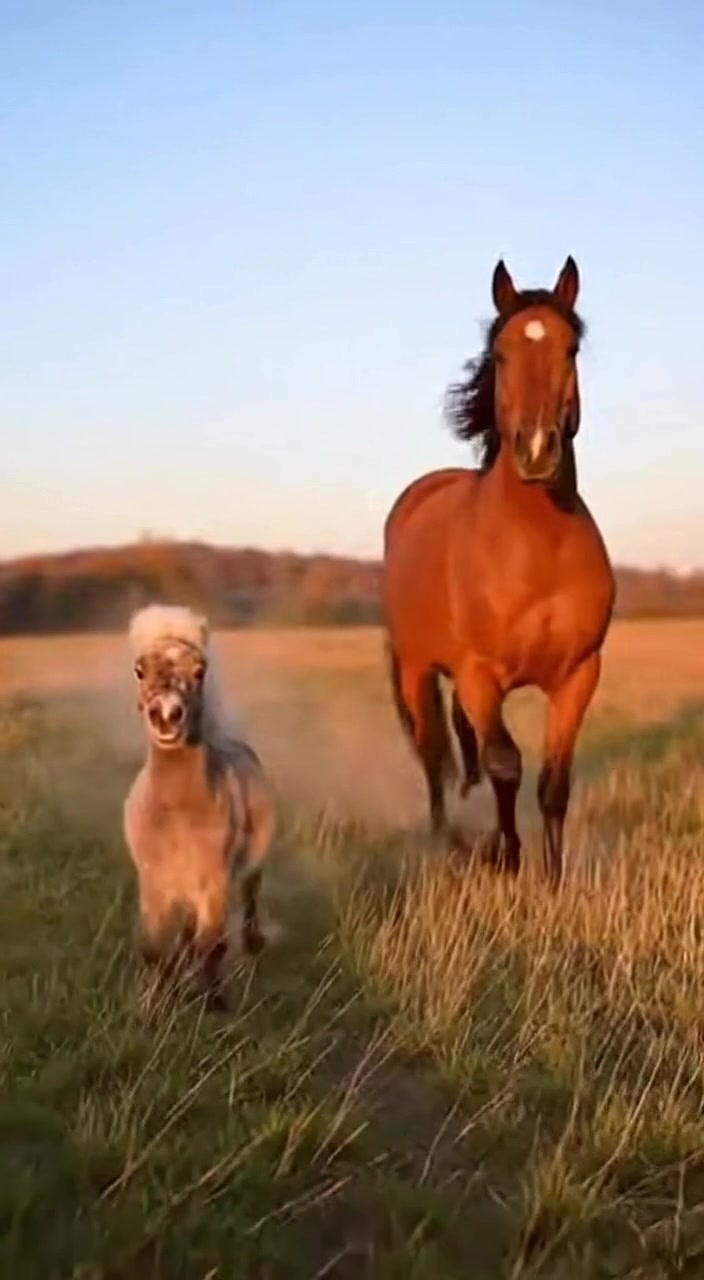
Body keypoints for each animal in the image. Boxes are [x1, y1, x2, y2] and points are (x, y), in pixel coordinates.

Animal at [123, 604, 276, 1008]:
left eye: (199, 670)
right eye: (139, 669)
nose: (166, 715)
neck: (177, 812)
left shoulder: (215, 881)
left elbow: (213, 945)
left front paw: (215, 1004)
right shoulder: (154, 884)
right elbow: (153, 948)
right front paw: (155, 1001)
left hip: (248, 867)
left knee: (249, 898)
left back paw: (252, 943)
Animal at [382, 256, 615, 888]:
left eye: (570, 349)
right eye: (503, 353)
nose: (537, 452)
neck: (538, 545)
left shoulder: (579, 675)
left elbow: (553, 782)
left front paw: (554, 880)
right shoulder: (480, 675)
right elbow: (506, 765)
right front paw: (505, 857)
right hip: (417, 672)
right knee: (434, 756)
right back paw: (448, 840)